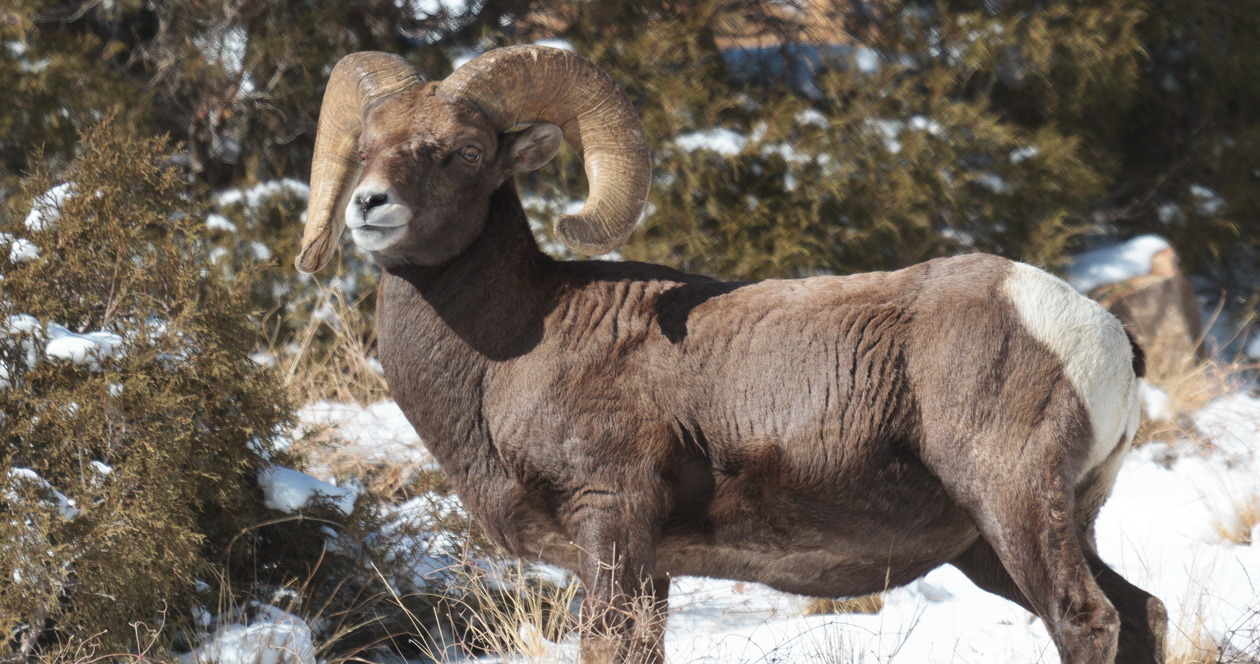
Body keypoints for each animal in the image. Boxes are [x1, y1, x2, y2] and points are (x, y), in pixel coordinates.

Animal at [295, 46, 1167, 664]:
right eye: (366, 145)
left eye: (467, 152)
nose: (371, 205)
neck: (510, 347)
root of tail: (1104, 336)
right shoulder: (650, 566)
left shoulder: (610, 519)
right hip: (998, 543)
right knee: (1140, 614)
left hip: (1012, 503)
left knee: (1087, 621)